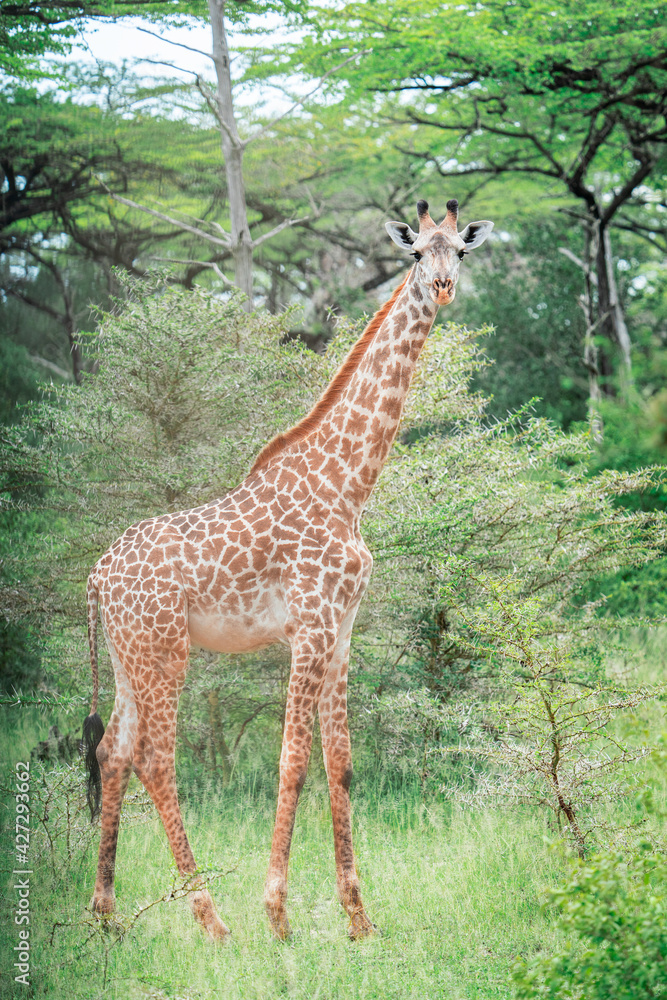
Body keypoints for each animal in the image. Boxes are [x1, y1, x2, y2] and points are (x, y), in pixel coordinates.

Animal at [81, 198, 493, 942]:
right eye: (417, 253)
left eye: (461, 251)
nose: (443, 287)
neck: (349, 486)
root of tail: (97, 575)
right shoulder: (308, 626)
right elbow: (294, 762)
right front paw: (277, 914)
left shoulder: (341, 632)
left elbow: (342, 766)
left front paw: (360, 919)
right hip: (165, 650)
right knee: (156, 759)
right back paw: (212, 921)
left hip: (130, 656)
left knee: (113, 755)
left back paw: (106, 916)